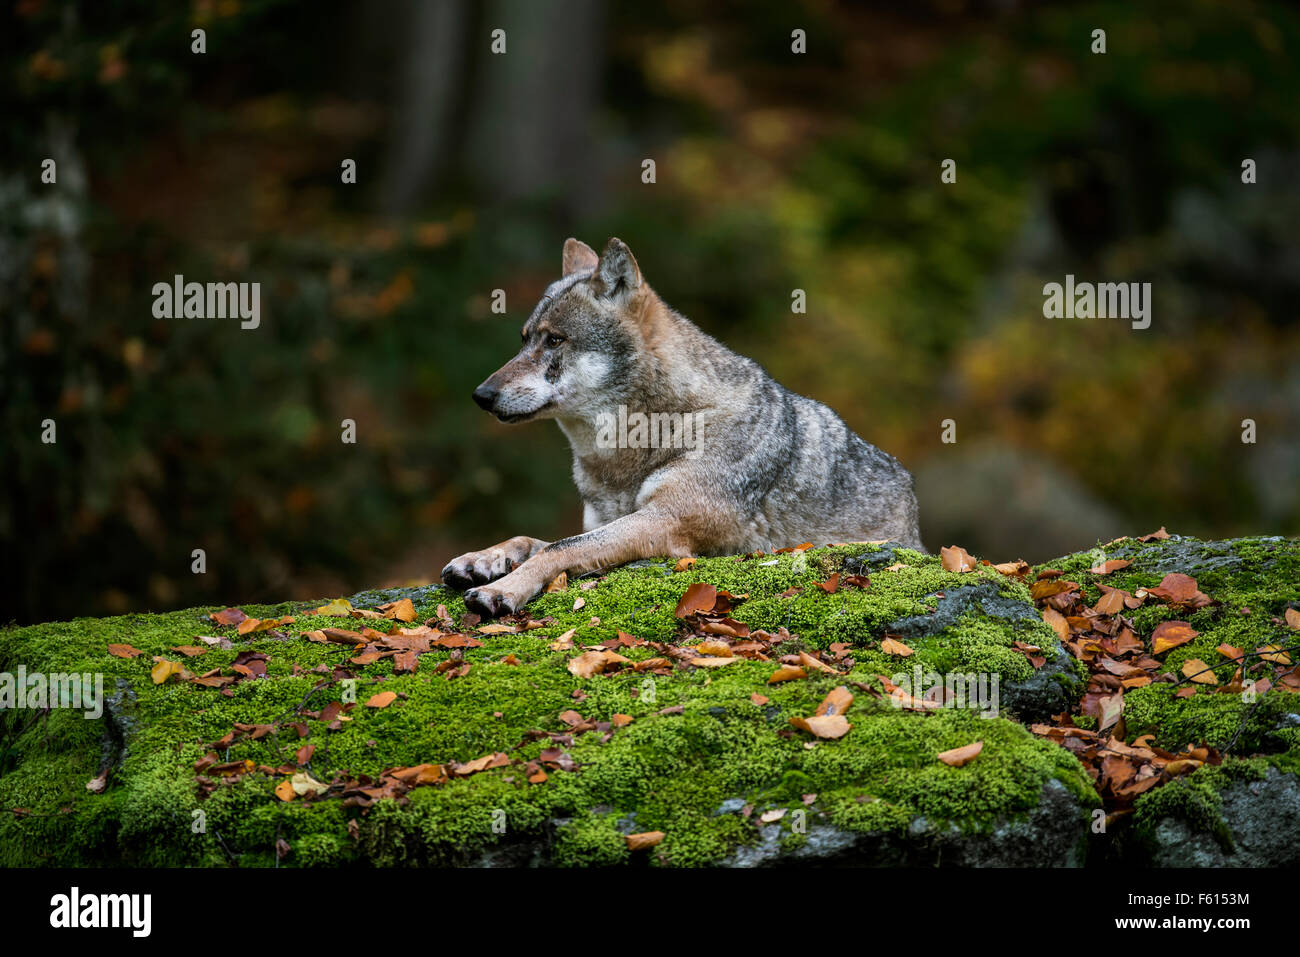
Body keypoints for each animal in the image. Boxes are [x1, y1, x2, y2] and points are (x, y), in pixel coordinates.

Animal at [442, 237, 924, 617]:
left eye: (555, 340)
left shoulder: (664, 522)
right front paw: (482, 559)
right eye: (525, 340)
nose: (481, 395)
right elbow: (531, 539)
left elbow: (559, 548)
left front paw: (502, 589)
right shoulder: (612, 519)